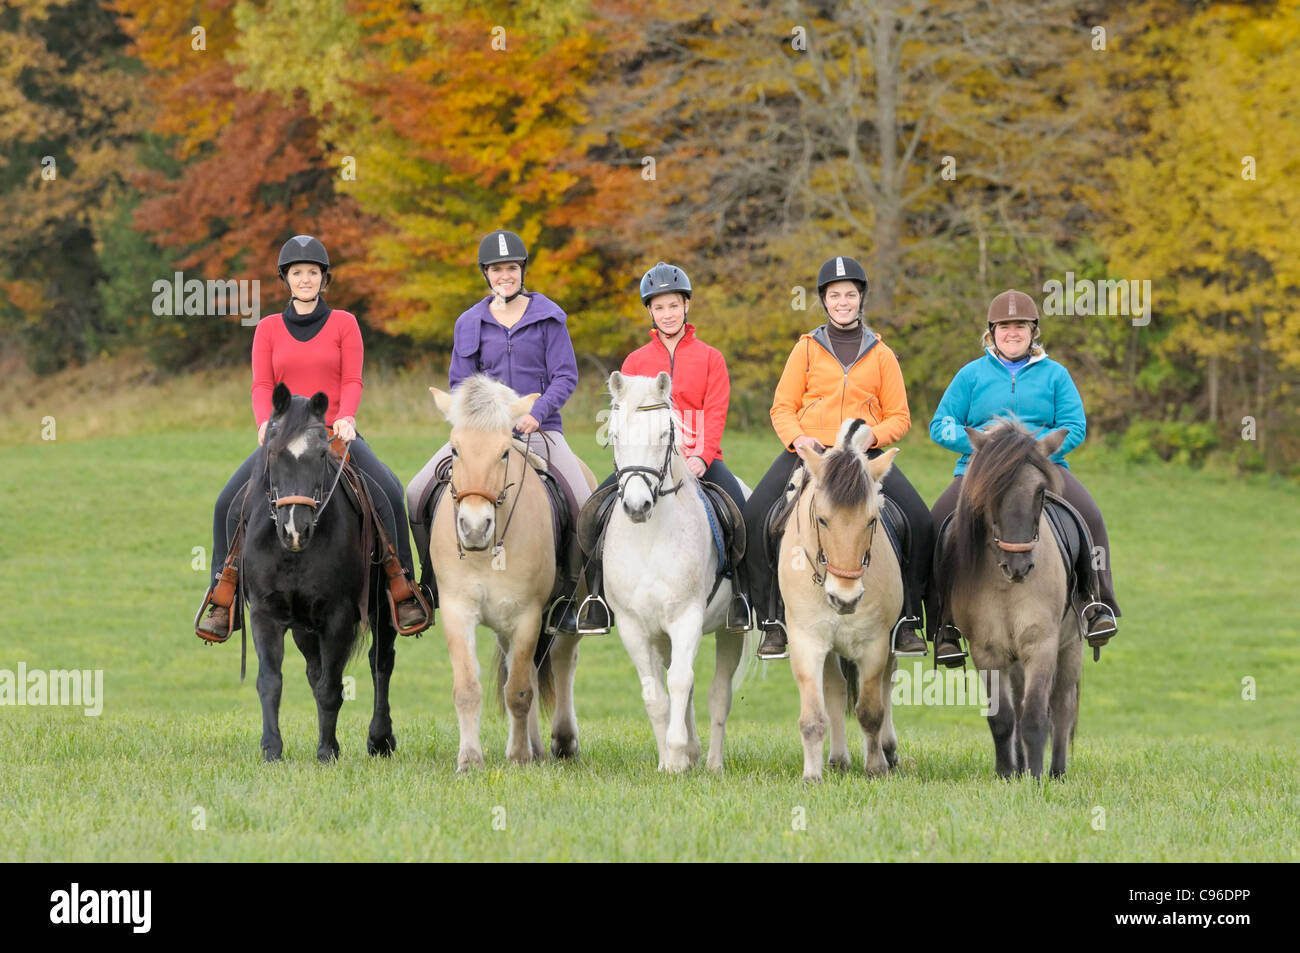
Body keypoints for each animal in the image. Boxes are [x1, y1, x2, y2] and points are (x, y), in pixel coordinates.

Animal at [240, 383, 397, 763]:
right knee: (315, 670)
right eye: (272, 453)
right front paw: (271, 749)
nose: (295, 530)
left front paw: (327, 751)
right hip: (304, 628)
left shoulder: (338, 616)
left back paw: (380, 740)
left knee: (381, 663)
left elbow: (331, 687)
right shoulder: (266, 614)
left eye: (323, 455)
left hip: (383, 611)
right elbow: (271, 681)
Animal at [427, 375, 589, 772]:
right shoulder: (458, 611)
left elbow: (518, 691)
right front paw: (470, 760)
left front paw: (517, 757)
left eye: (503, 453)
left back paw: (562, 742)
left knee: (562, 660)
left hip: (567, 613)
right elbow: (468, 689)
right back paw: (535, 746)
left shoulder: (528, 615)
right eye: (454, 450)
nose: (473, 527)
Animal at [601, 372, 751, 773]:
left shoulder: (686, 619)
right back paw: (693, 754)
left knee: (718, 693)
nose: (637, 506)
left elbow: (681, 682)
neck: (648, 539)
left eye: (663, 435)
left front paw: (677, 749)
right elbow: (655, 693)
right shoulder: (635, 627)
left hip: (730, 630)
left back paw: (712, 763)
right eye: (616, 435)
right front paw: (669, 761)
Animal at [778, 418, 903, 782]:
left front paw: (876, 768)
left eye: (872, 520)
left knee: (887, 682)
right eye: (822, 519)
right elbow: (813, 716)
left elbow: (871, 710)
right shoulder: (806, 642)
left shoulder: (875, 644)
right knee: (834, 689)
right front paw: (812, 775)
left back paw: (888, 751)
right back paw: (837, 759)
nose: (844, 599)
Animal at [940, 420, 1081, 779]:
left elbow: (1034, 717)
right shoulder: (987, 651)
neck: (1007, 586)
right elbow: (1002, 718)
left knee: (1062, 707)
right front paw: (1006, 773)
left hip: (1070, 646)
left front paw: (1036, 777)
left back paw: (1057, 772)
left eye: (1040, 491)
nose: (1019, 565)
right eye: (991, 491)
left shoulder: (1041, 644)